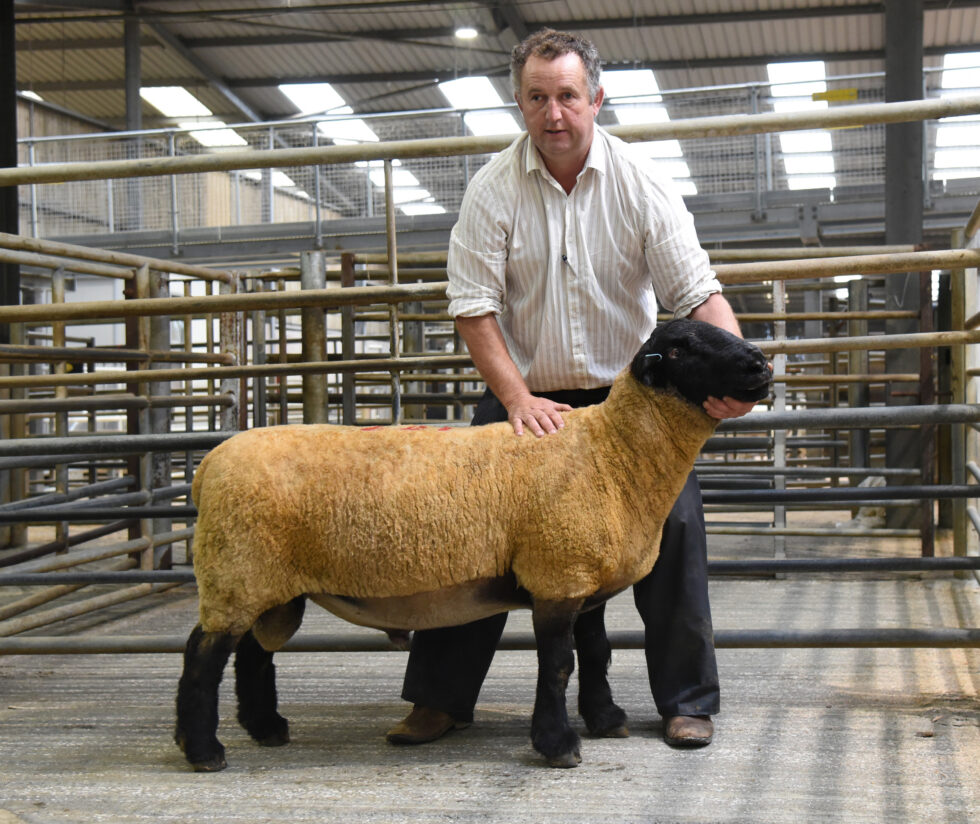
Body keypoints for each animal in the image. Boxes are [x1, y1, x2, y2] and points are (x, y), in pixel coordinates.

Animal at [174, 318, 771, 772]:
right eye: (680, 346)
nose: (761, 365)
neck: (610, 452)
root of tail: (208, 468)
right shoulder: (556, 575)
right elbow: (559, 665)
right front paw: (558, 745)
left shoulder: (583, 577)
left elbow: (597, 654)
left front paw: (605, 721)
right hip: (237, 568)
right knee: (203, 656)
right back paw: (204, 751)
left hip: (268, 582)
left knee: (253, 653)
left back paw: (266, 729)